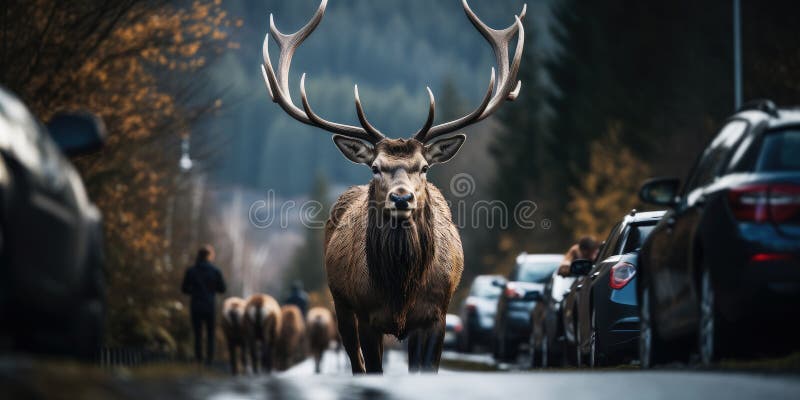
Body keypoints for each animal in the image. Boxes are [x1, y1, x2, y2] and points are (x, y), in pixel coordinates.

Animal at [260, 0, 525, 373]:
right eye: (376, 167)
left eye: (424, 167)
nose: (402, 198)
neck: (401, 290)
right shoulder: (367, 316)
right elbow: (371, 368)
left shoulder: (436, 317)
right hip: (340, 307)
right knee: (354, 361)